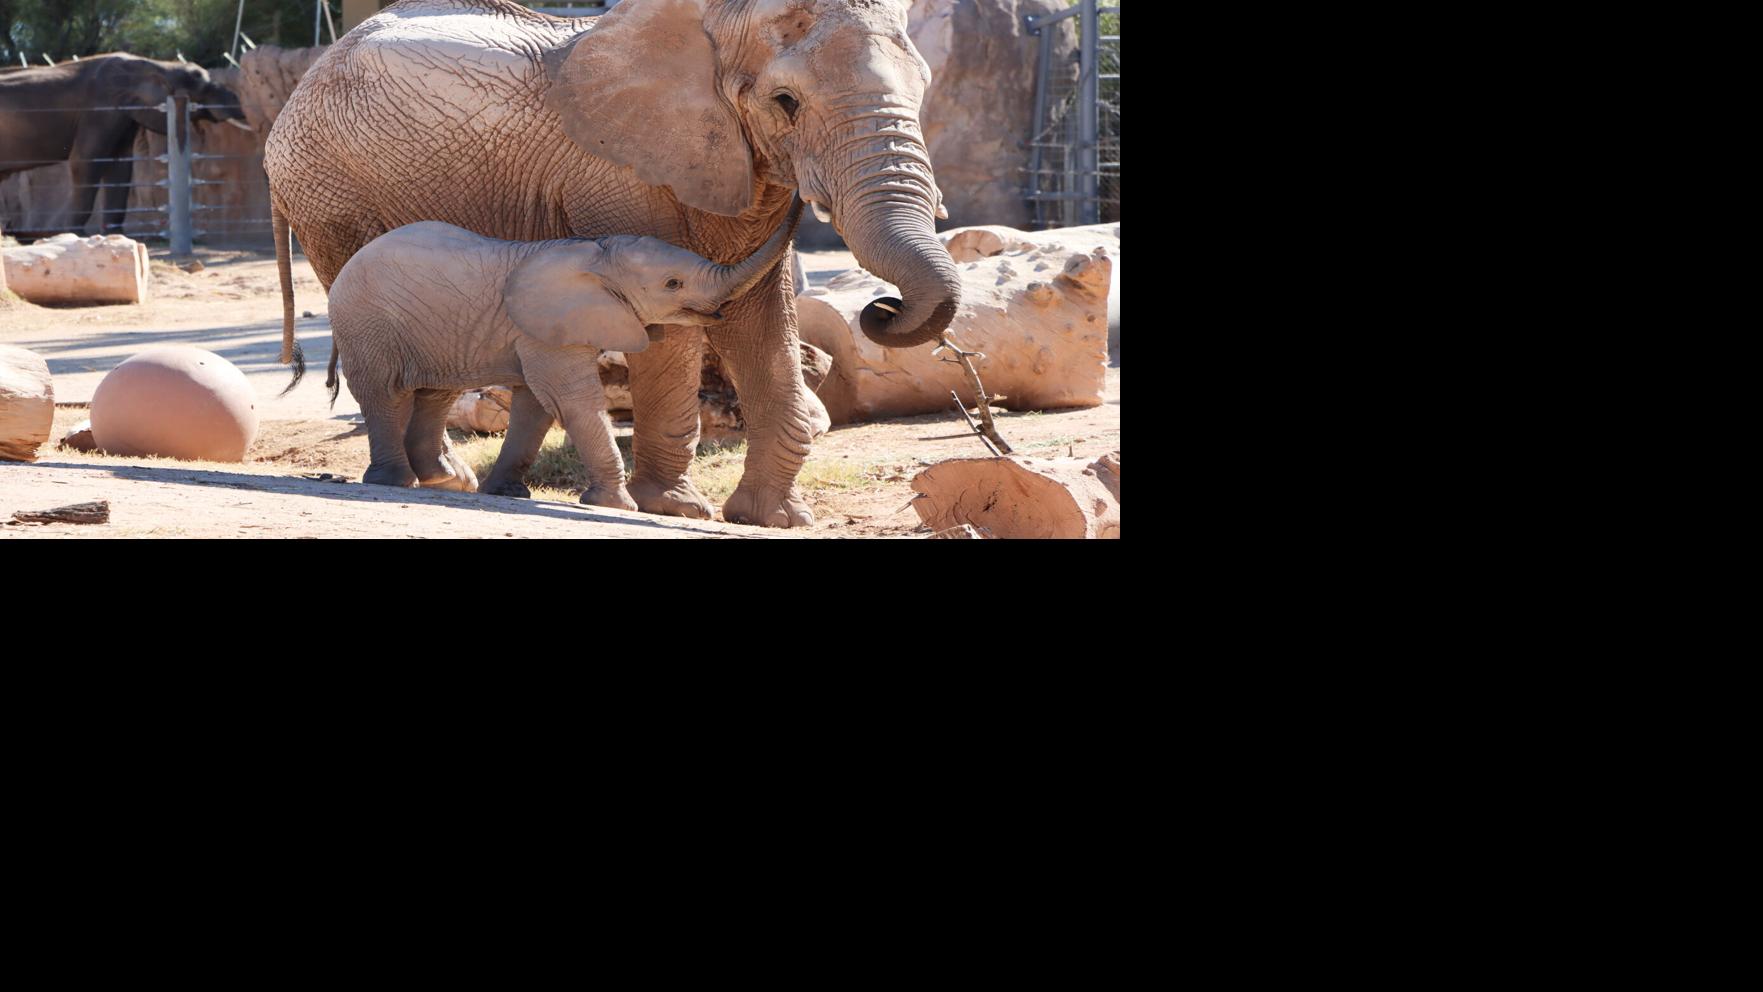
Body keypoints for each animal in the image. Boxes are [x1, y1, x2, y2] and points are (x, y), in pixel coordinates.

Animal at [0, 54, 249, 235]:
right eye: (202, 86)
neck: (156, 65)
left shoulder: (123, 115)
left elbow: (120, 167)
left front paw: (115, 237)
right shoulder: (101, 110)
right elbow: (85, 162)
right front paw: (75, 236)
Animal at [324, 199, 802, 506]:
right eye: (673, 283)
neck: (596, 252)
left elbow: (536, 406)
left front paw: (509, 494)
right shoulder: (545, 332)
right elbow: (572, 400)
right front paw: (614, 505)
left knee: (435, 394)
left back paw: (443, 481)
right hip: (365, 324)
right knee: (384, 393)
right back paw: (394, 482)